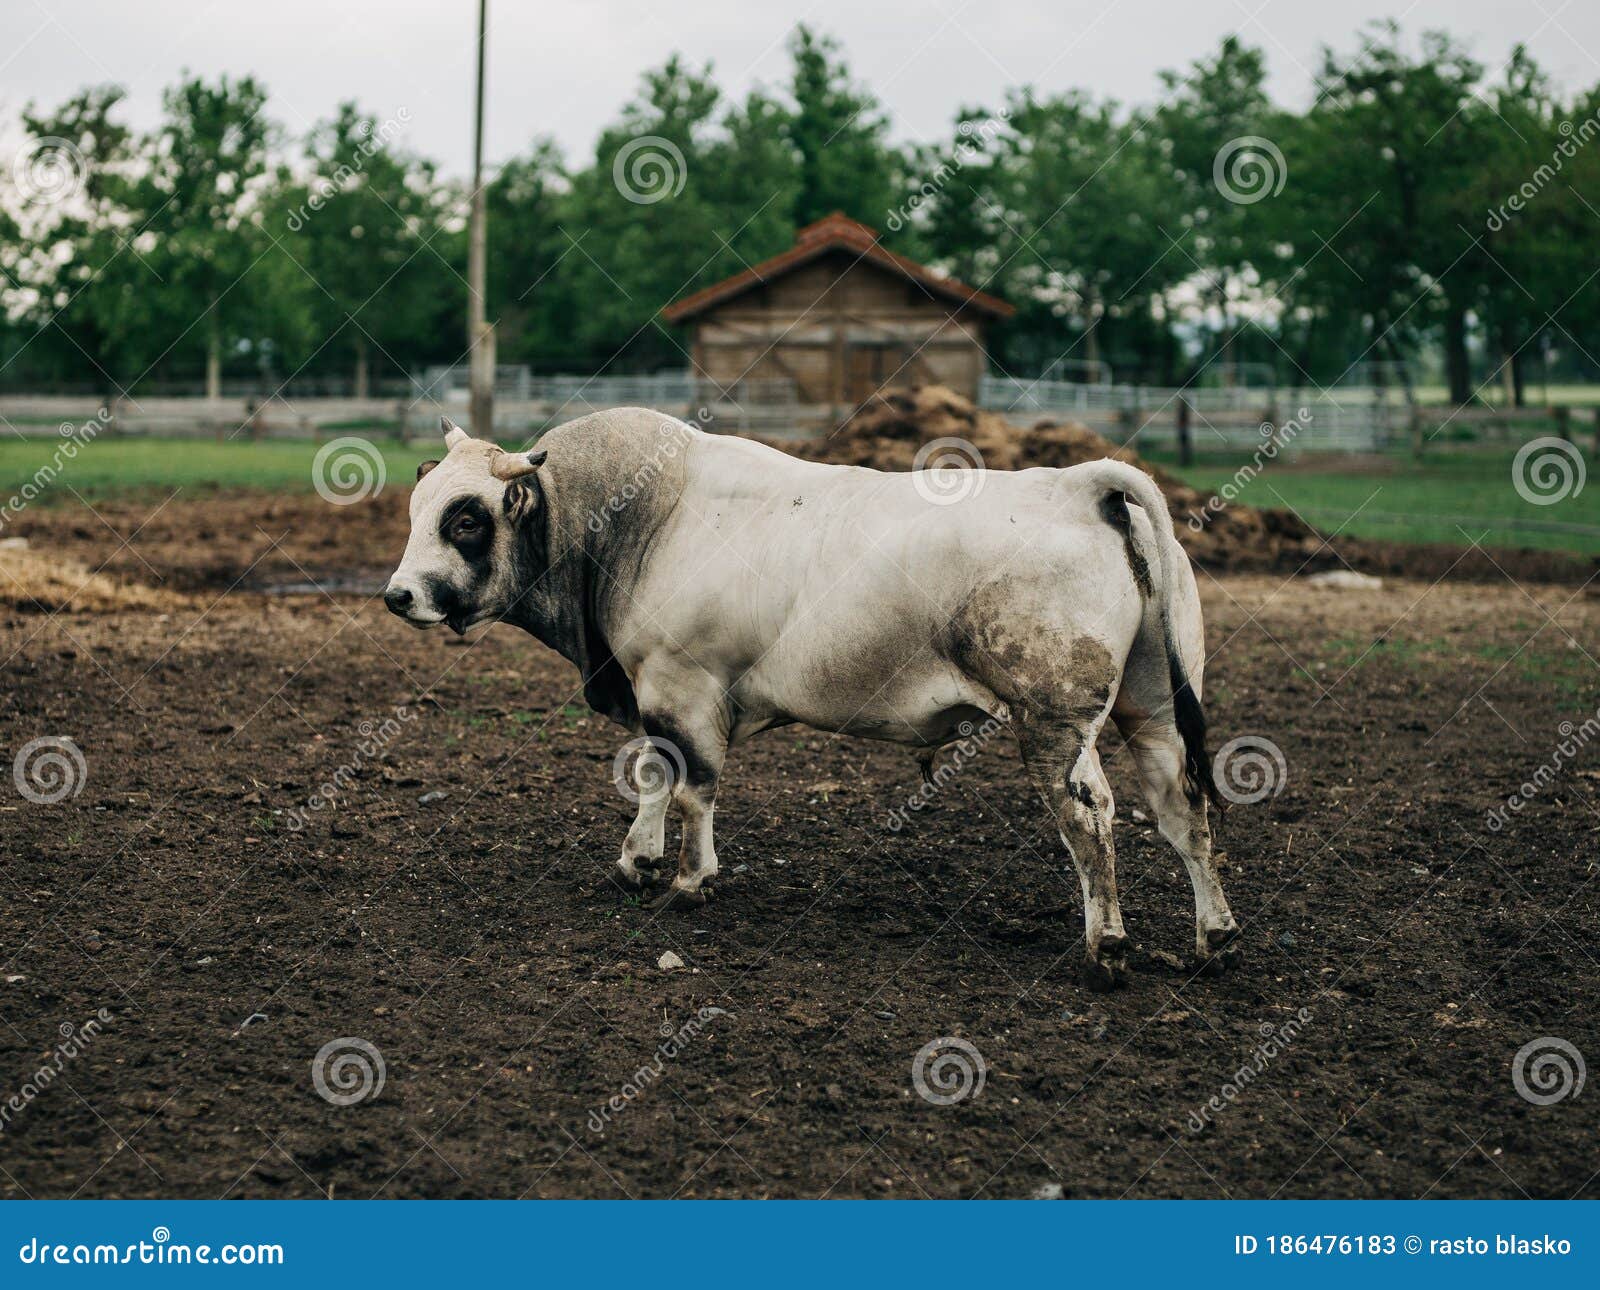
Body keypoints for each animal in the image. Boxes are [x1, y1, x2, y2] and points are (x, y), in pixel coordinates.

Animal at [384, 411, 1240, 988]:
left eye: (467, 519)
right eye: (418, 509)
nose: (398, 595)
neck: (642, 515)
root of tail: (1078, 483)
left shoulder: (682, 688)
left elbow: (691, 788)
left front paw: (689, 880)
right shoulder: (657, 697)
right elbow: (655, 777)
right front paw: (637, 861)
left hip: (1054, 723)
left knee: (1090, 815)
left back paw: (1106, 945)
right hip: (1152, 710)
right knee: (1182, 807)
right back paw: (1214, 936)